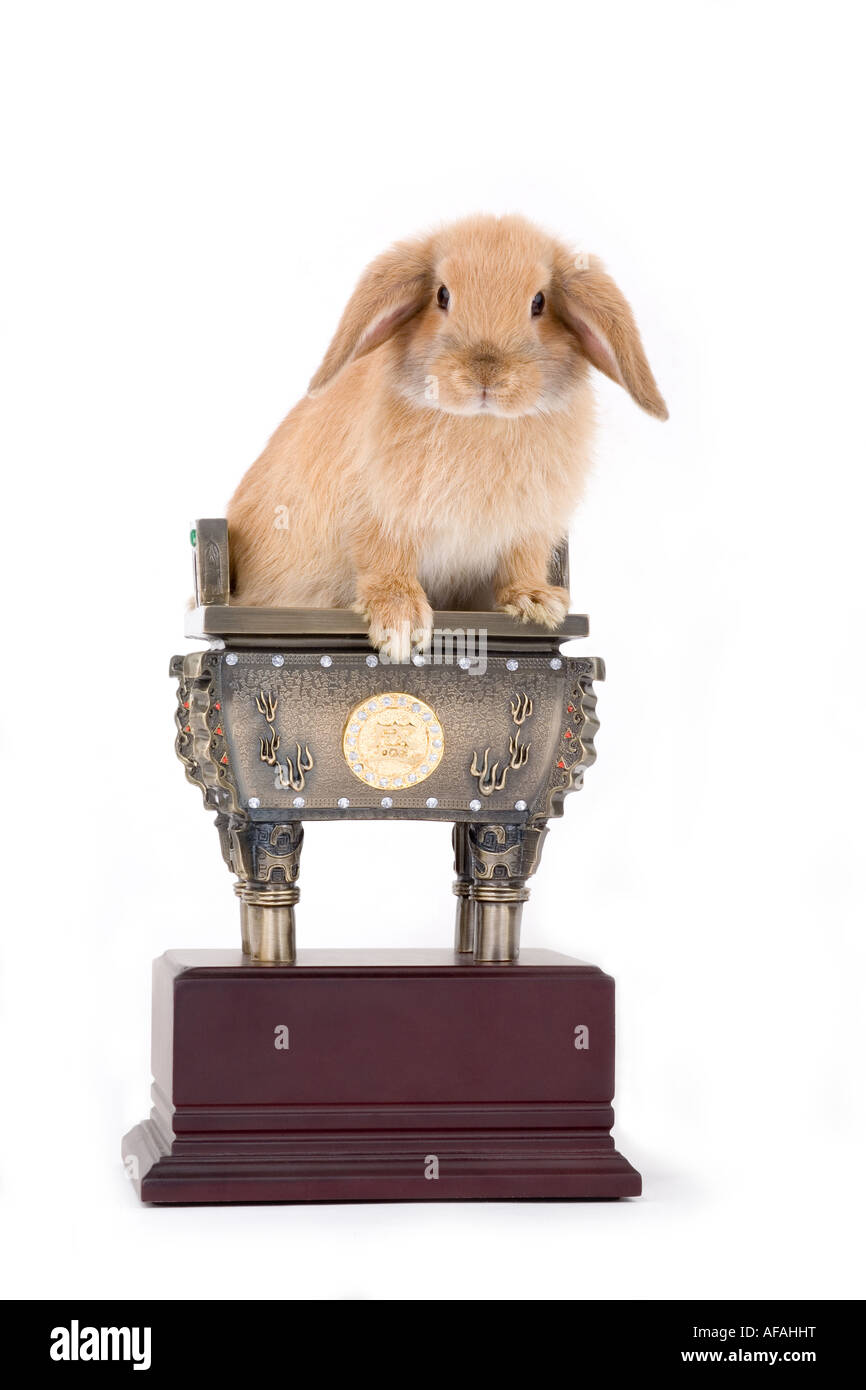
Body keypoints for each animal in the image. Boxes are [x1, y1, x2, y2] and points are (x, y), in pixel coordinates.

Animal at [227, 214, 667, 660]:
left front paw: (536, 600)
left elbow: (522, 563)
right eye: (442, 295)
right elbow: (384, 560)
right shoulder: (378, 515)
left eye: (539, 302)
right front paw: (401, 621)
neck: (481, 420)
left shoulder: (529, 530)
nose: (485, 373)